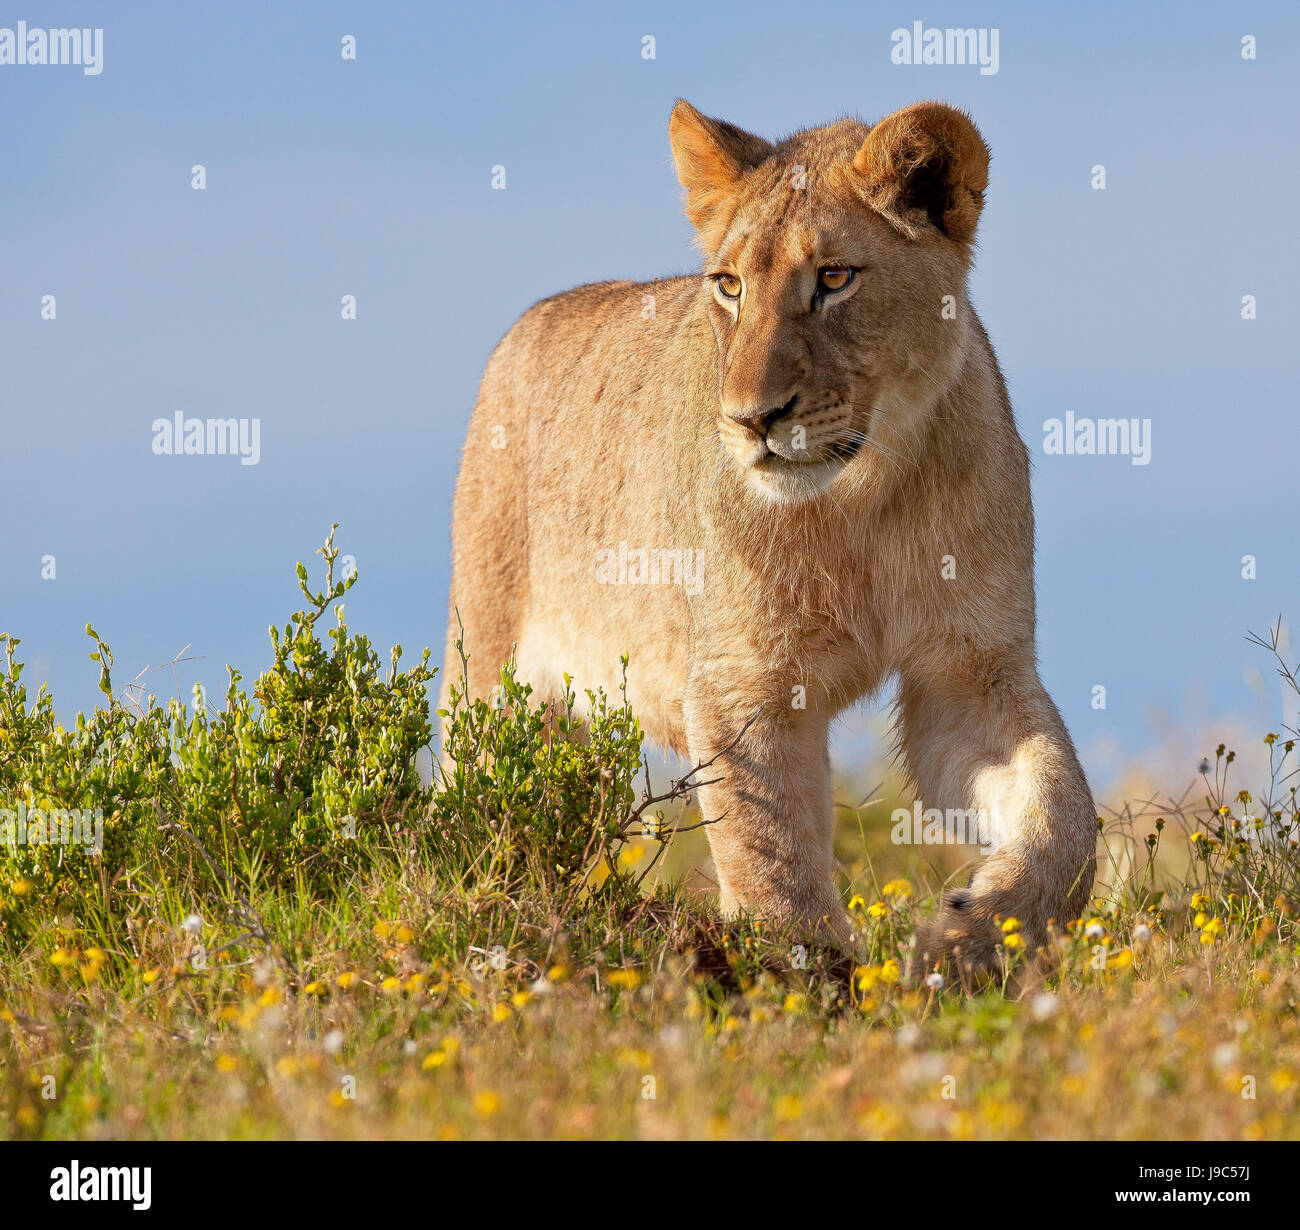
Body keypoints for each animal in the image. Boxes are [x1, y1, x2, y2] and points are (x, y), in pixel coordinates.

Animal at [442, 99, 1097, 981]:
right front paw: (811, 978)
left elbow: (1066, 814)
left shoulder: (970, 672)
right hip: (487, 680)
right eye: (730, 287)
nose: (754, 418)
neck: (867, 497)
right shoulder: (742, 680)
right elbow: (770, 850)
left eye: (834, 278)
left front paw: (973, 938)